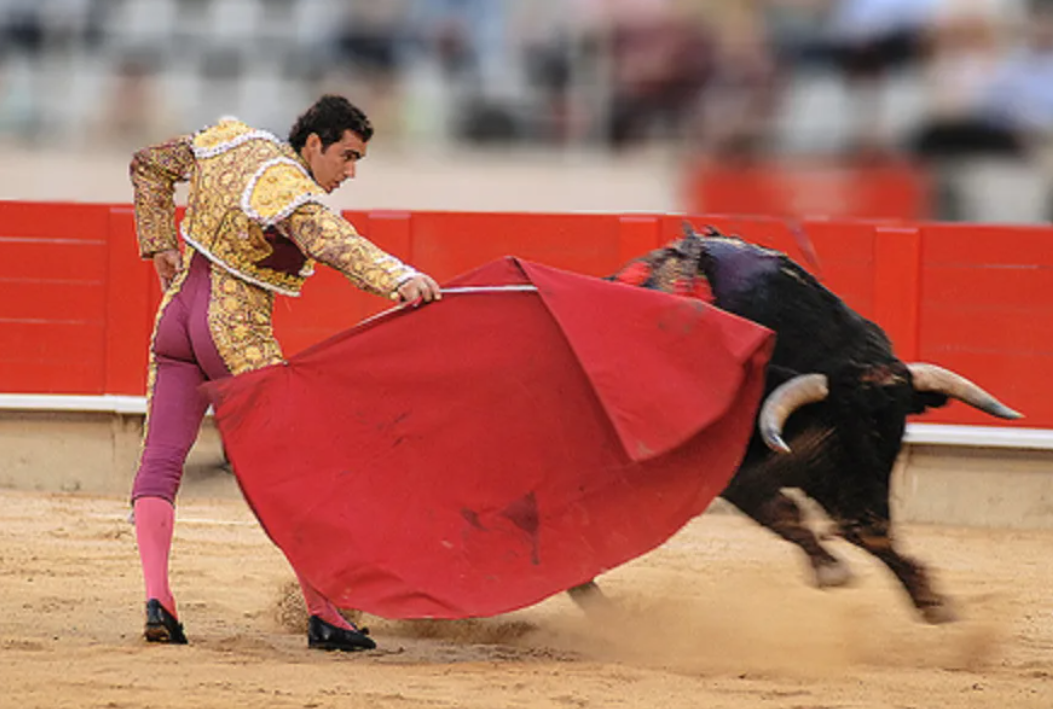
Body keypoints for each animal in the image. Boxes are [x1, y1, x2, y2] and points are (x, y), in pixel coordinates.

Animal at [568, 224, 1019, 623]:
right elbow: (781, 511)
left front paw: (931, 600)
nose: (870, 520)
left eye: (896, 432)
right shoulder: (735, 471)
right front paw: (832, 569)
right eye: (840, 433)